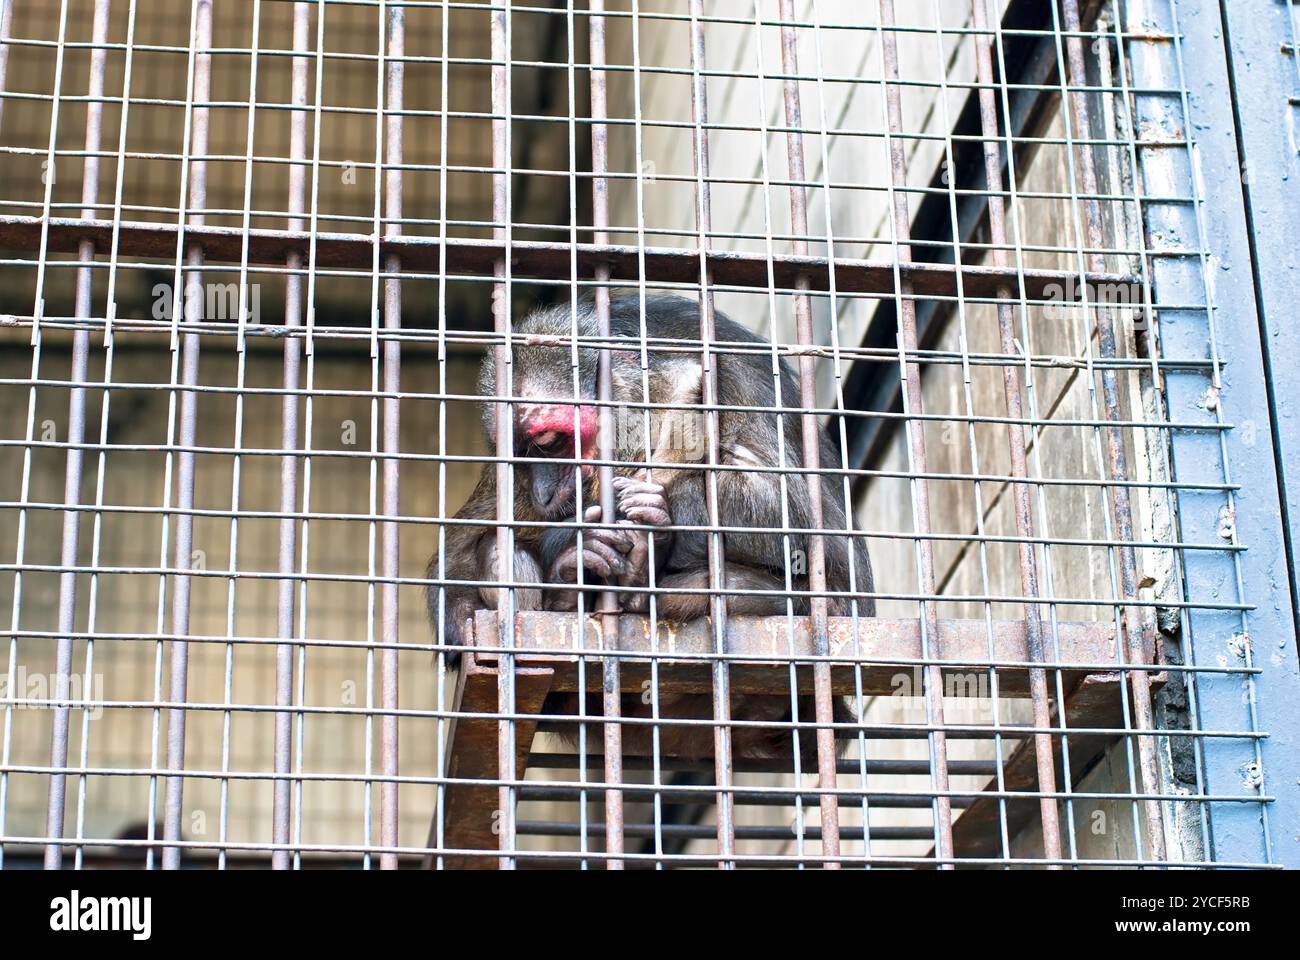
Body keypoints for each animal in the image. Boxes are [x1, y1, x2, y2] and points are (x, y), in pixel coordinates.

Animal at [427, 294, 874, 763]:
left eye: (547, 442)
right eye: (520, 453)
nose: (544, 493)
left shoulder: (730, 385)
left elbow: (794, 519)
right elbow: (455, 567)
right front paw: (572, 547)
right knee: (500, 552)